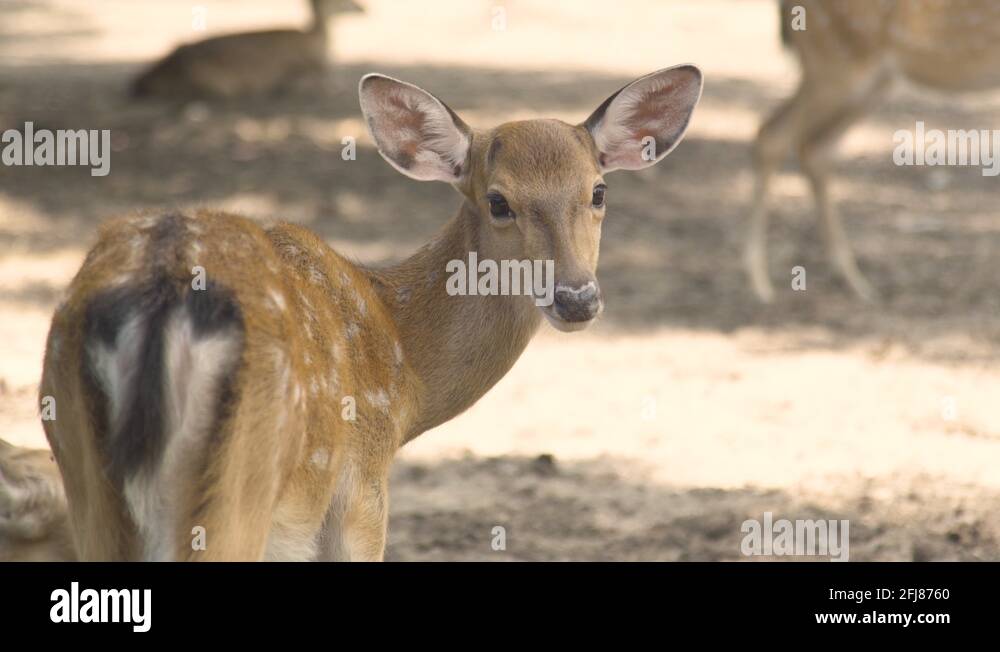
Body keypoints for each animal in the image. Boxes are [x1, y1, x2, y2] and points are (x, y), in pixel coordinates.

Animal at [38, 66, 703, 561]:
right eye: (498, 201)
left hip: (85, 478)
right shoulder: (359, 496)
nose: (576, 297)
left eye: (598, 191)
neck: (404, 379)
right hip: (240, 483)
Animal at [746, 0, 1000, 303]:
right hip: (837, 63)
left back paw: (851, 279)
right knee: (773, 135)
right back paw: (759, 281)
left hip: (869, 79)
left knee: (814, 147)